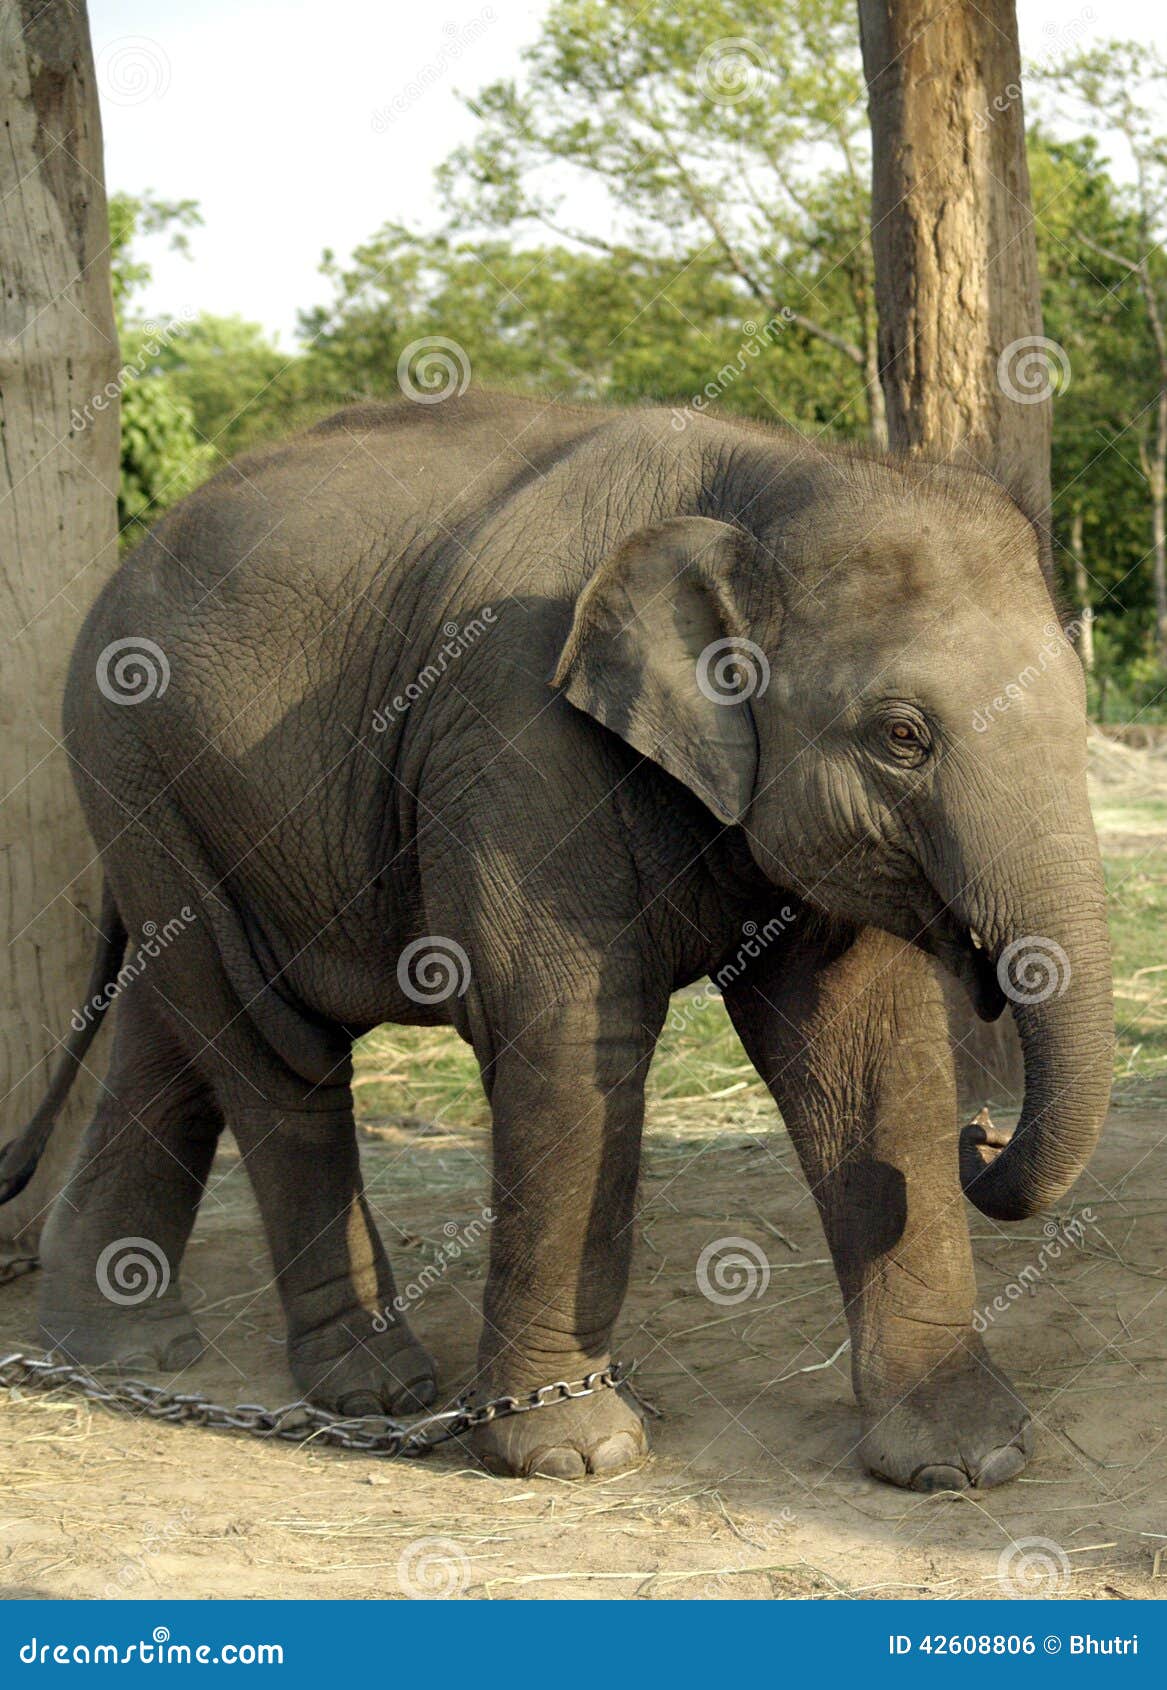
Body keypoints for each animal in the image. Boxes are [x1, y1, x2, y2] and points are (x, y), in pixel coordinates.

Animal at [0, 391, 1113, 1489]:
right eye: (900, 736)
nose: (986, 1136)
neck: (768, 474)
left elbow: (867, 1046)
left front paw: (967, 1459)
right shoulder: (515, 731)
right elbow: (574, 1035)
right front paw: (577, 1453)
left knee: (175, 1023)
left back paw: (116, 1346)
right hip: (136, 766)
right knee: (272, 1046)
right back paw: (373, 1385)